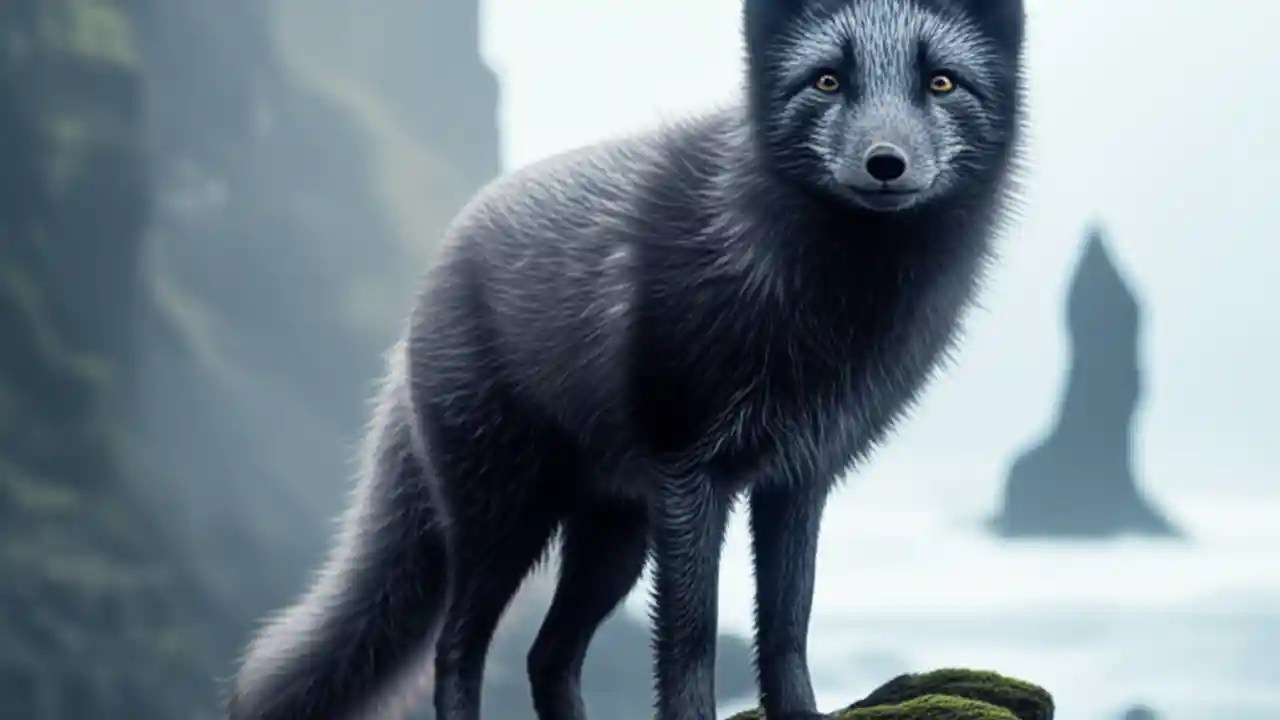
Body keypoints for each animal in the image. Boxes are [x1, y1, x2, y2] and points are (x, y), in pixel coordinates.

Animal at [228, 0, 1026, 718]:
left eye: (942, 83)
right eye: (827, 81)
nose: (885, 164)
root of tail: (425, 296)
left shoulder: (799, 476)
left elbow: (787, 627)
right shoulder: (691, 473)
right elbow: (691, 642)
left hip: (616, 537)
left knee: (547, 655)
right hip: (506, 517)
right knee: (457, 648)